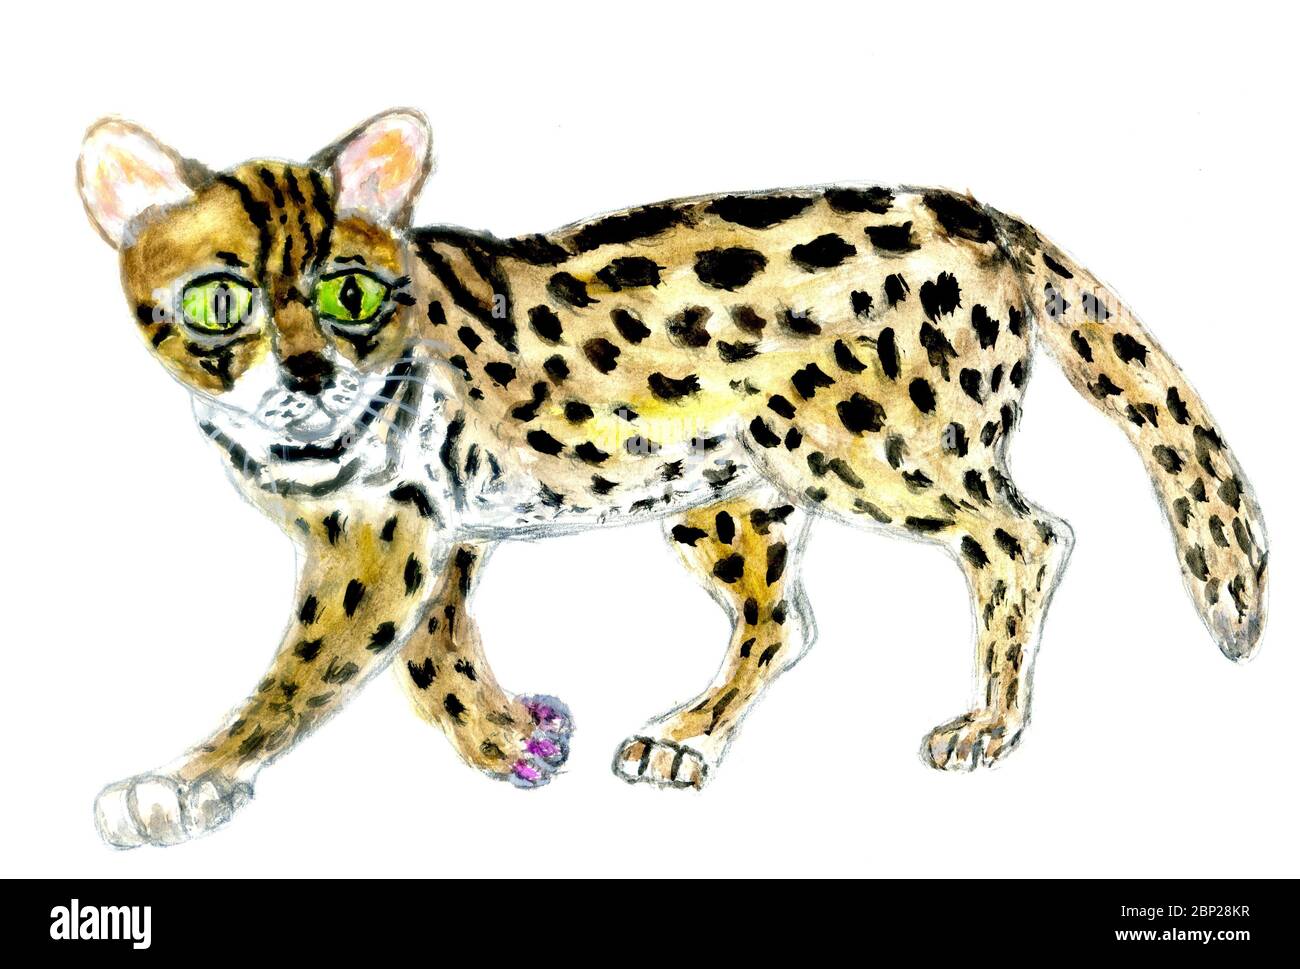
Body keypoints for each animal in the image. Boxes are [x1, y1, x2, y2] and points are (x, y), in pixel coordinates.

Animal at [77, 108, 1268, 847]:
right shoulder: (437, 529)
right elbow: (433, 654)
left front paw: (182, 781)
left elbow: (308, 668)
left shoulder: (386, 534)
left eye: (349, 294)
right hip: (727, 497)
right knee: (786, 620)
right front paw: (508, 742)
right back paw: (689, 733)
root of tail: (970, 207)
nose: (313, 372)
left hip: (863, 449)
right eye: (221, 299)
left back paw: (986, 724)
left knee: (1023, 538)